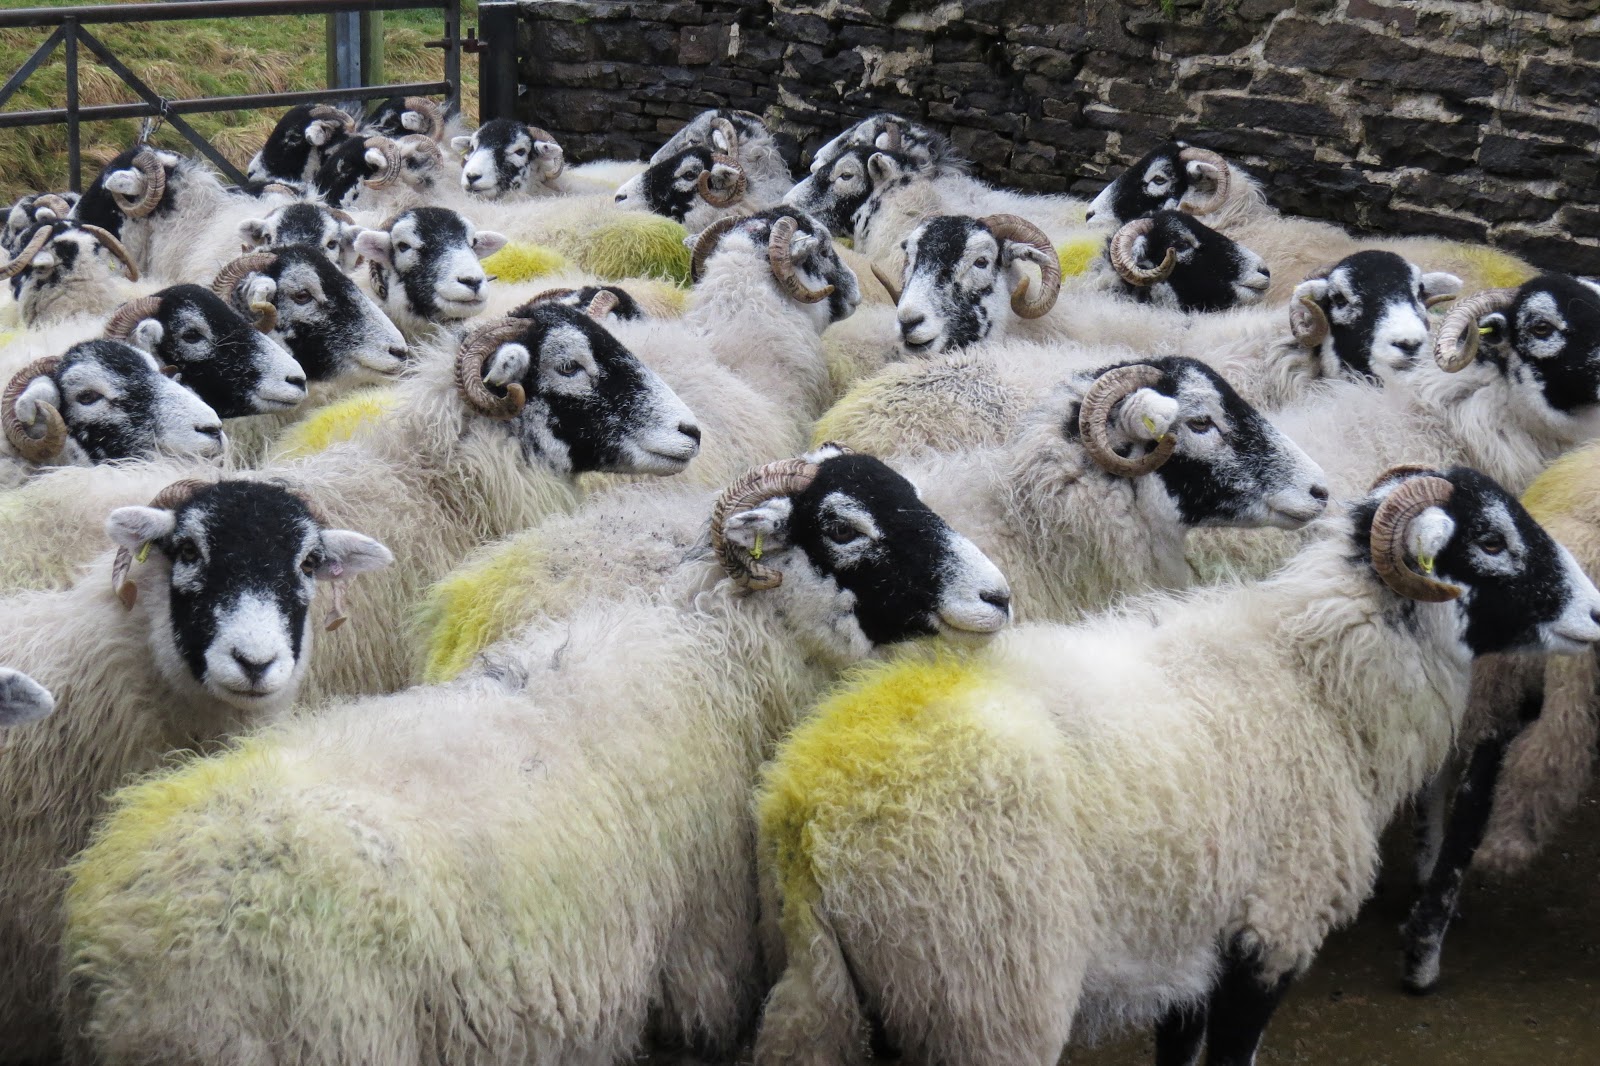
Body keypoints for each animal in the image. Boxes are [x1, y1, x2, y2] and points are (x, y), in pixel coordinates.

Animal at [750, 464, 1600, 1066]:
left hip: (883, 994)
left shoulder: (1194, 951)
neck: (1318, 686)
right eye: (1490, 541)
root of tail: (803, 802)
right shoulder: (1269, 931)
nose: (1595, 611)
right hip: (987, 997)